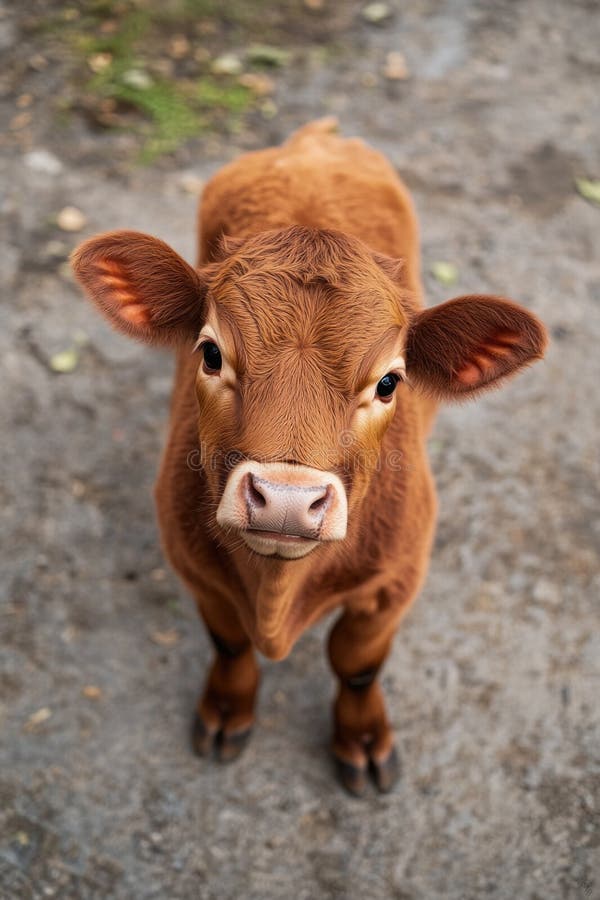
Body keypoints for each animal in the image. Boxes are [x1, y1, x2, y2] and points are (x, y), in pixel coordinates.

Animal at [71, 119, 547, 794]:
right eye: (210, 353)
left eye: (390, 381)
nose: (287, 502)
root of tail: (313, 139)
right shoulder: (195, 568)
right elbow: (228, 644)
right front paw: (227, 709)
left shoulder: (394, 582)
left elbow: (356, 665)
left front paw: (363, 739)